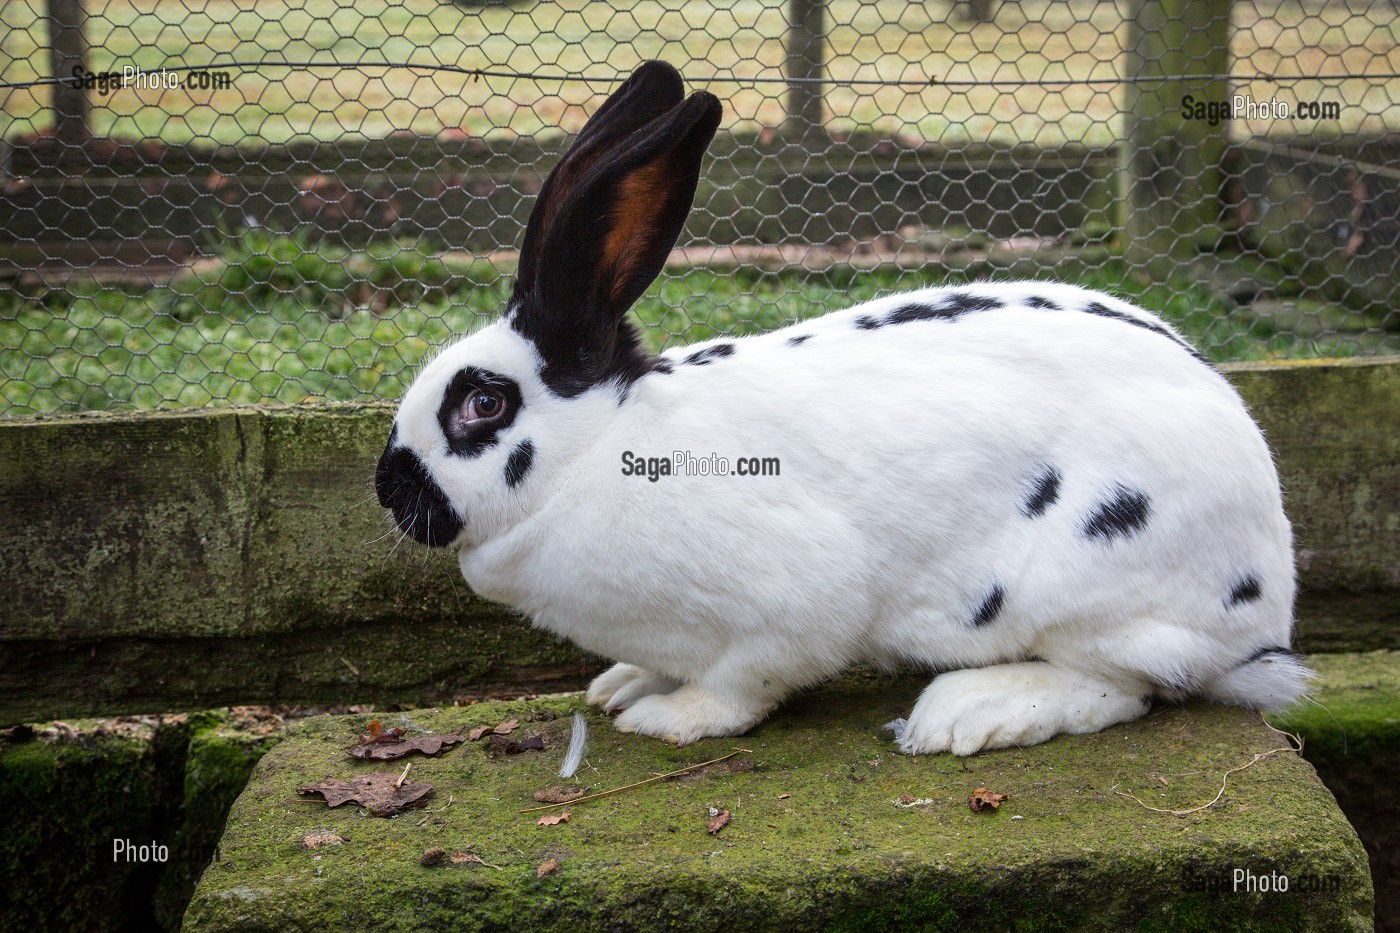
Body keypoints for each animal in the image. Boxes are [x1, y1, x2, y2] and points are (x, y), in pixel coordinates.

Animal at [375, 60, 1310, 755]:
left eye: (483, 404)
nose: (388, 488)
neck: (601, 448)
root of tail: (1270, 598)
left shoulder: (793, 607)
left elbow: (743, 683)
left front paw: (666, 716)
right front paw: (626, 683)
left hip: (1091, 595)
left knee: (1123, 685)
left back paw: (969, 712)